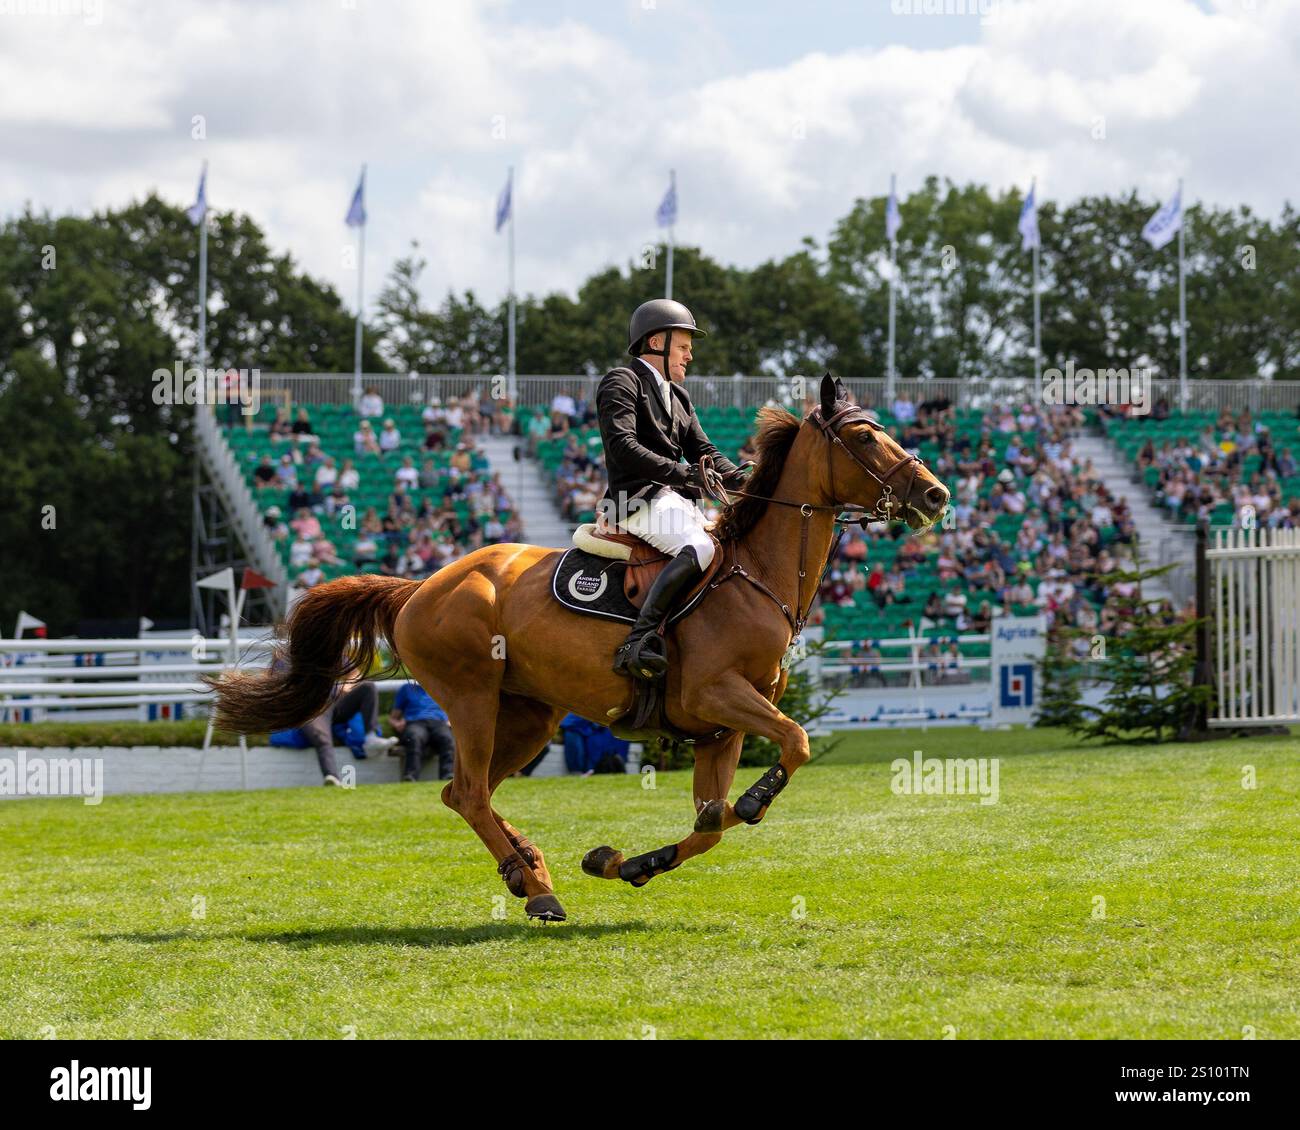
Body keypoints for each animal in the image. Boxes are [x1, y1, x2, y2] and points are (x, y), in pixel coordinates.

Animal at [207, 375, 950, 922]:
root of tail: (422, 584)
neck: (755, 576)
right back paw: (538, 891)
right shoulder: (719, 695)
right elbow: (791, 745)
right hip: (472, 699)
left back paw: (528, 868)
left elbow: (710, 822)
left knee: (463, 793)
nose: (937, 493)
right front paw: (757, 798)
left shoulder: (721, 727)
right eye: (864, 435)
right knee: (469, 791)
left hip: (529, 715)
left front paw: (630, 863)